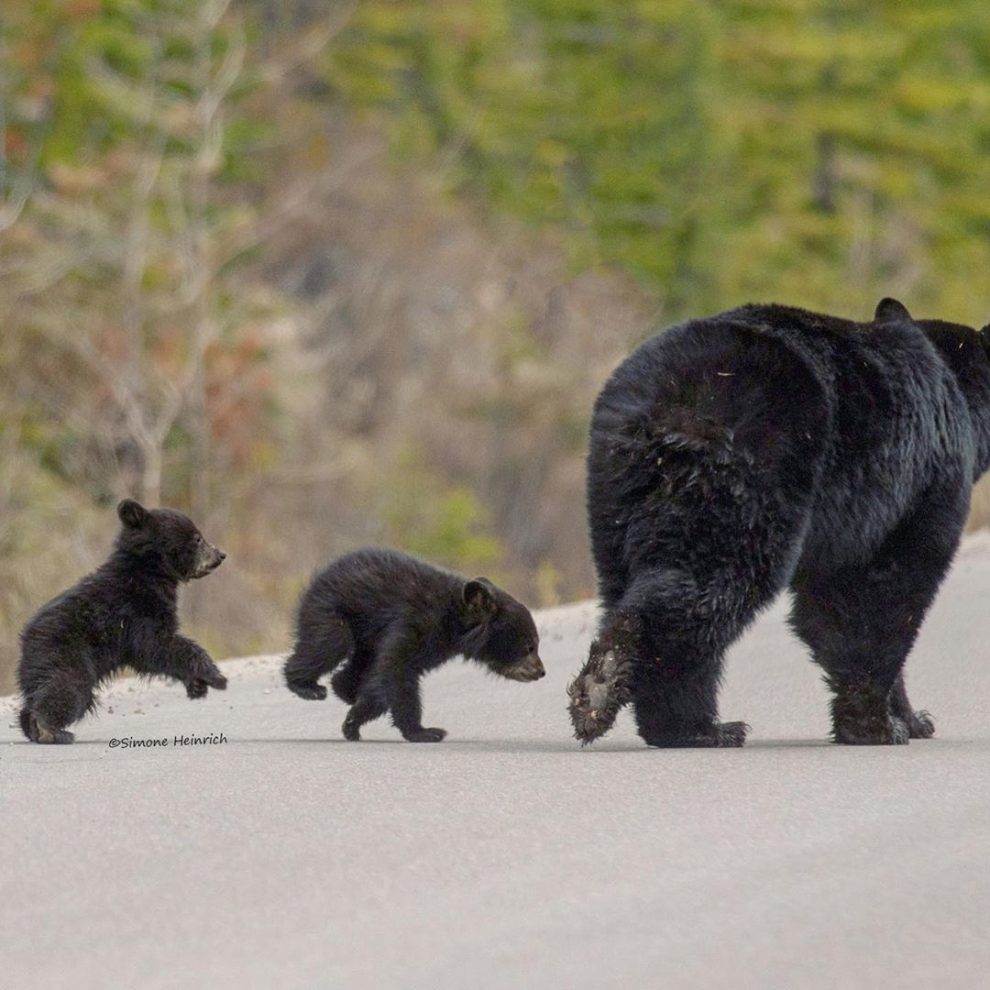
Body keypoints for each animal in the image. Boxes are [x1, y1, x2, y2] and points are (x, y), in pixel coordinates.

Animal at [18, 499, 228, 744]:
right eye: (197, 538)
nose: (221, 555)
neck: (149, 572)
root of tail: (27, 640)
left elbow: (158, 653)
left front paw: (196, 686)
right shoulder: (137, 612)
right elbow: (156, 646)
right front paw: (216, 677)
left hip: (41, 666)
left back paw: (32, 728)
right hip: (67, 654)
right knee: (69, 687)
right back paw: (51, 730)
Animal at [284, 548, 545, 741]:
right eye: (529, 646)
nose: (541, 671)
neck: (453, 620)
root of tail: (318, 577)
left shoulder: (435, 645)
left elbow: (387, 673)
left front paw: (354, 718)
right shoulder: (416, 624)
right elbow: (397, 669)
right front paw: (425, 732)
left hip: (365, 633)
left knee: (356, 662)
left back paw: (343, 689)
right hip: (331, 608)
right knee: (328, 643)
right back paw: (307, 687)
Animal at [568, 298, 990, 748]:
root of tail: (668, 402)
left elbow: (827, 608)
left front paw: (910, 718)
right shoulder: (917, 492)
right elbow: (878, 598)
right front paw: (879, 724)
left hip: (615, 491)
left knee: (627, 582)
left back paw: (682, 722)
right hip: (751, 475)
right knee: (709, 586)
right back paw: (637, 699)